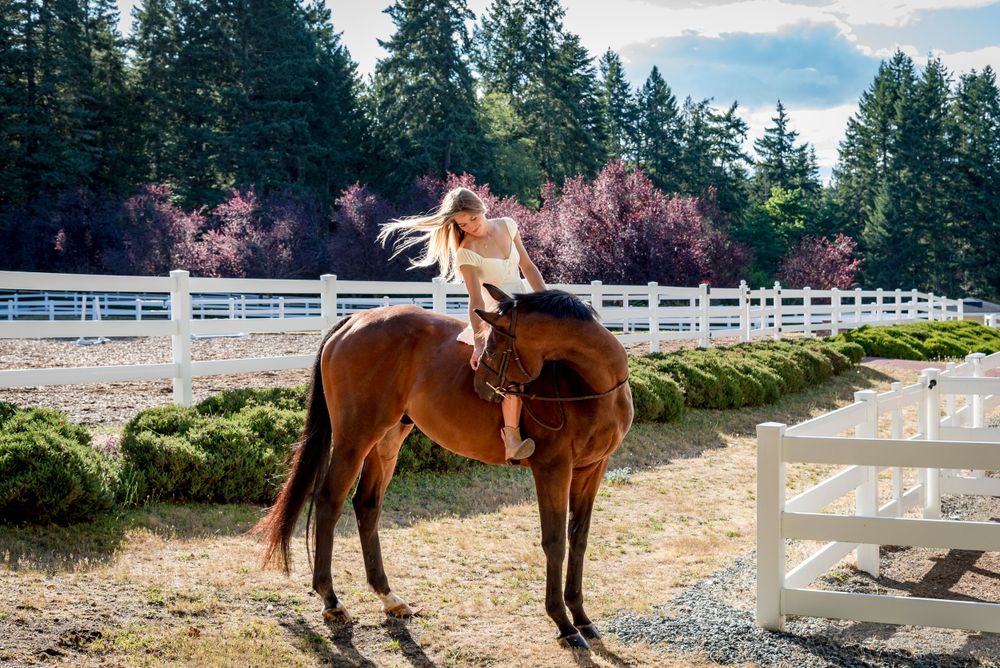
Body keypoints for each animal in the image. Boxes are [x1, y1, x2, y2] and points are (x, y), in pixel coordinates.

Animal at [253, 284, 633, 648]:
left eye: (494, 346)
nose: (483, 386)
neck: (595, 384)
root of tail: (354, 320)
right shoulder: (553, 469)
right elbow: (554, 541)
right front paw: (563, 624)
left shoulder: (592, 469)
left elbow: (578, 538)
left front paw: (581, 616)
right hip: (354, 438)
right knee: (329, 501)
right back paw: (331, 599)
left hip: (388, 438)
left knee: (367, 504)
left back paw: (388, 596)